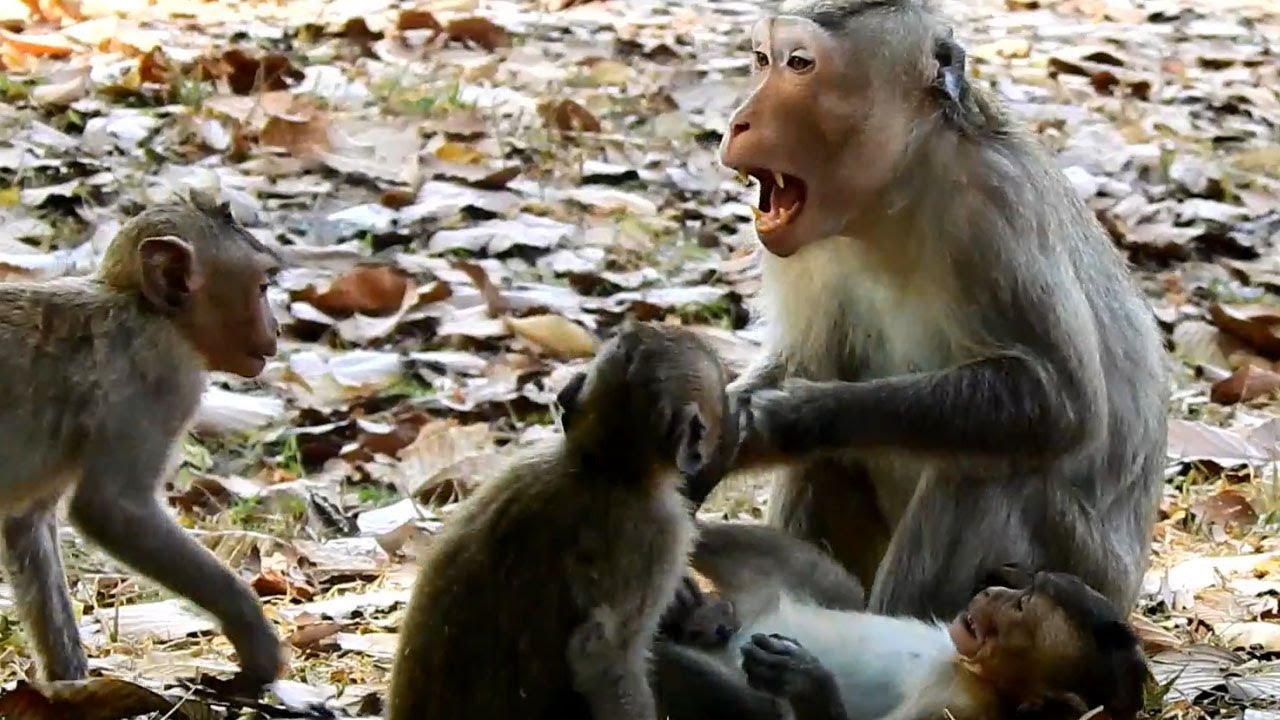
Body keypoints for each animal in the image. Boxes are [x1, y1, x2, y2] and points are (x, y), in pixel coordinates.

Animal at [0, 192, 285, 689]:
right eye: (263, 288)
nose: (278, 328)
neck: (141, 307)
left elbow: (25, 523)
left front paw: (70, 686)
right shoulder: (159, 381)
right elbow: (112, 508)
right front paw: (254, 638)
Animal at [653, 523, 1150, 720]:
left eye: (1021, 608)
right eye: (1024, 593)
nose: (992, 591)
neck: (971, 671)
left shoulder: (960, 708)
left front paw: (805, 682)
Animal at [699, 0, 1169, 623]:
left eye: (799, 63)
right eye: (761, 59)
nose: (738, 122)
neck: (896, 193)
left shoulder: (995, 208)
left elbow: (1062, 402)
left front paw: (802, 415)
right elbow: (807, 358)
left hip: (1078, 576)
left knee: (988, 467)